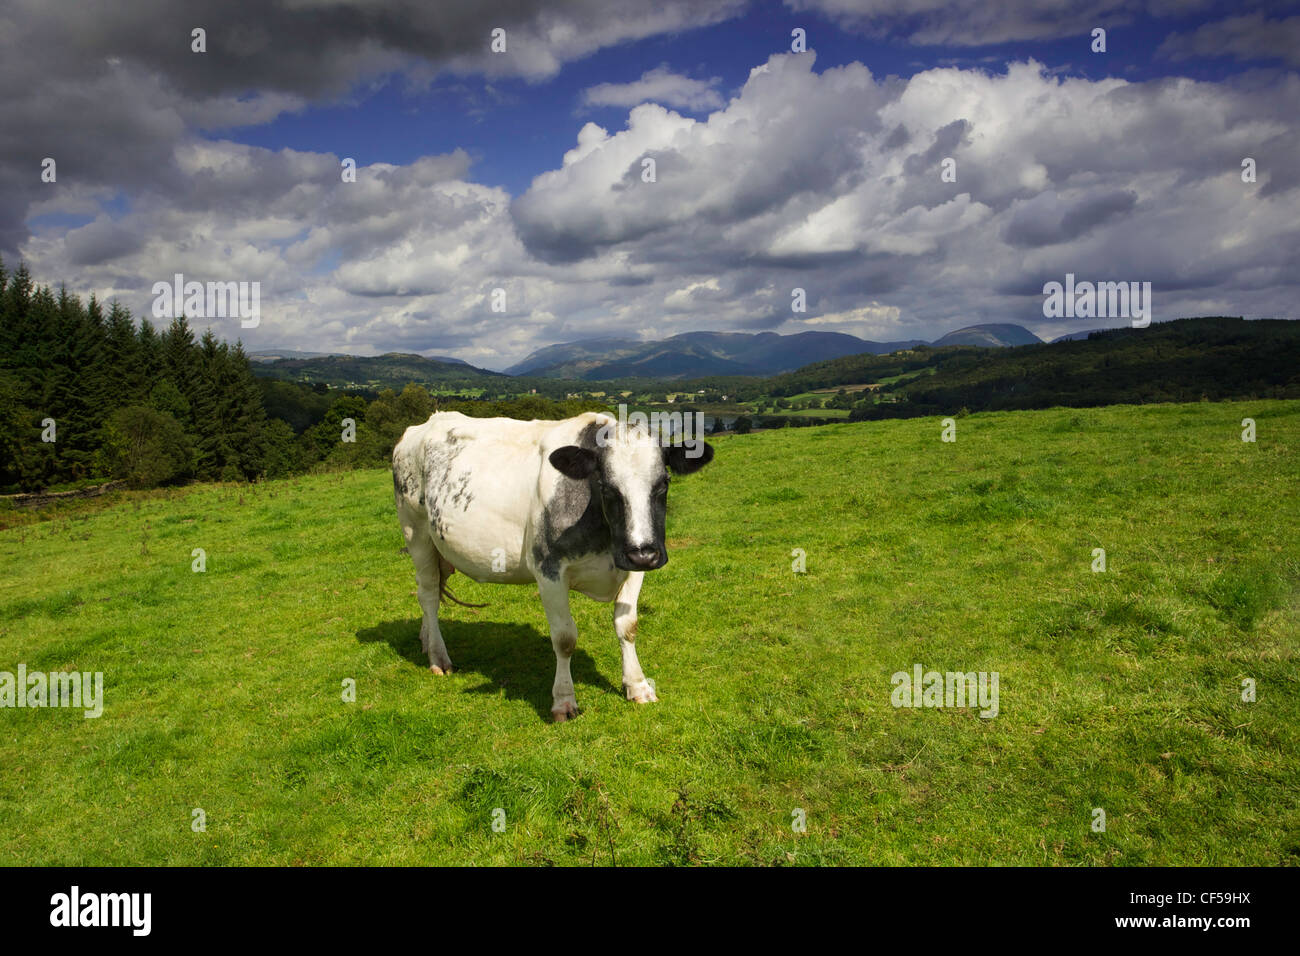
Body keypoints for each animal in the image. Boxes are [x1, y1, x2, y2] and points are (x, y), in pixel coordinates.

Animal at [392, 410, 714, 722]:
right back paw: (438, 657)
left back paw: (426, 639)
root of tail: (424, 424)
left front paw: (637, 685)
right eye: (606, 487)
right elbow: (564, 638)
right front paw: (564, 701)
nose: (643, 553)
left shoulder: (632, 567)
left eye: (664, 483)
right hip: (416, 533)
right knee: (428, 594)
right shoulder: (549, 570)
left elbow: (627, 626)